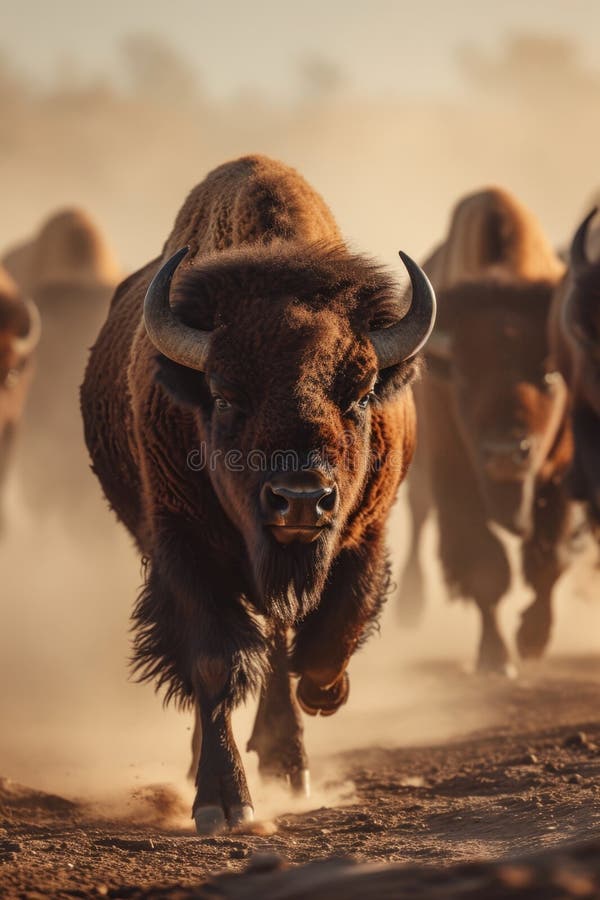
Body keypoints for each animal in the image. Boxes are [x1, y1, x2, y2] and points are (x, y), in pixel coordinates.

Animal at [81, 154, 436, 832]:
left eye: (361, 393)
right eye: (223, 395)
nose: (300, 499)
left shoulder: (365, 533)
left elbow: (324, 639)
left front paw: (325, 695)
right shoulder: (183, 545)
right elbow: (215, 662)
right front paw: (223, 802)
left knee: (276, 640)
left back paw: (287, 761)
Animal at [398, 187, 575, 672]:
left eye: (550, 373)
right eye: (462, 375)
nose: (503, 453)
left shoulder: (562, 477)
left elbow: (549, 559)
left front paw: (533, 639)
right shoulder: (453, 476)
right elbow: (485, 567)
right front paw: (496, 658)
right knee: (418, 518)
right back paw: (410, 606)